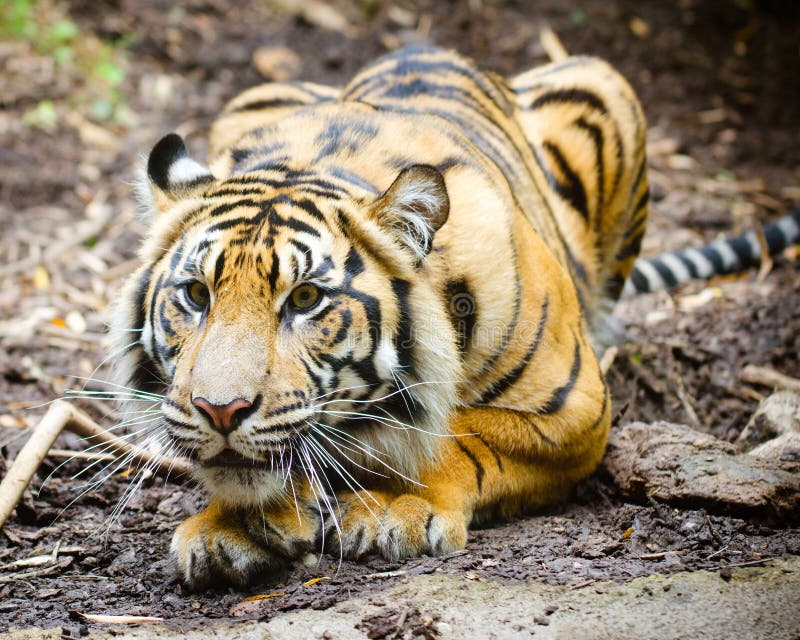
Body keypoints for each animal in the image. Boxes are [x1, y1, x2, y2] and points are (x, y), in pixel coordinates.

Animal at [113, 45, 649, 589]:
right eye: (197, 294)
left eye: (305, 298)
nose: (219, 410)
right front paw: (229, 525)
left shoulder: (576, 410)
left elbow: (456, 435)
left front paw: (396, 503)